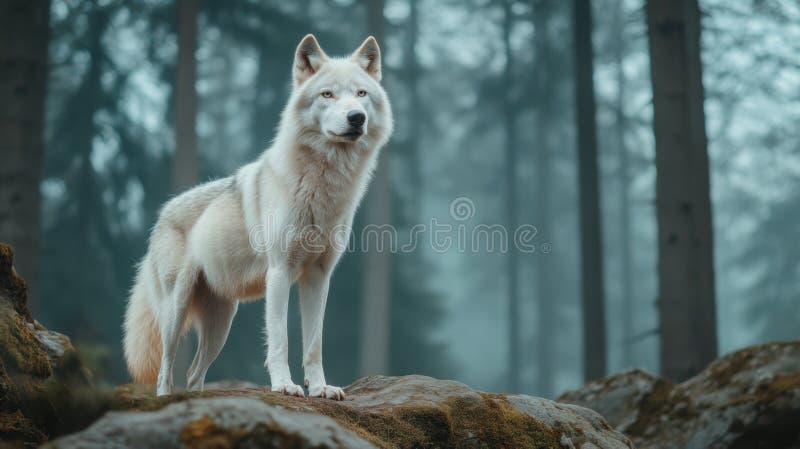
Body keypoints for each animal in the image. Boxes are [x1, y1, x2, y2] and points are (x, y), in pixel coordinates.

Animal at [123, 34, 393, 399]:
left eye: (362, 94)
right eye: (328, 94)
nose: (356, 117)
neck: (322, 185)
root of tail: (162, 214)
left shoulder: (319, 276)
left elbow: (314, 344)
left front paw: (320, 388)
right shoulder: (279, 272)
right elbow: (280, 339)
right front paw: (284, 385)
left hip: (221, 324)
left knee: (193, 374)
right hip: (175, 313)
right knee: (166, 371)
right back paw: (167, 401)